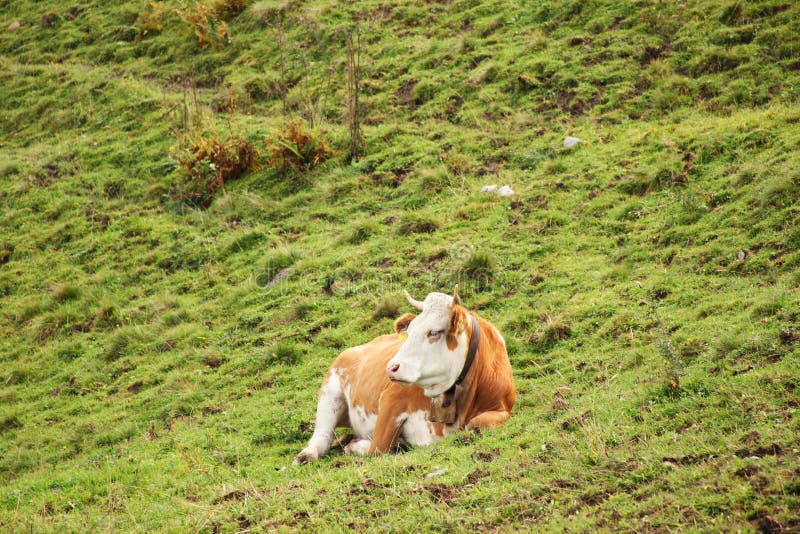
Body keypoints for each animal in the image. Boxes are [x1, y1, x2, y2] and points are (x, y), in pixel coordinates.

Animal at [293, 287, 515, 464]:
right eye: (410, 330)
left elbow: (478, 423)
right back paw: (307, 455)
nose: (391, 367)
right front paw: (359, 446)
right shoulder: (392, 397)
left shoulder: (502, 406)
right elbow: (377, 448)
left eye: (434, 332)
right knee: (322, 436)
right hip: (330, 391)